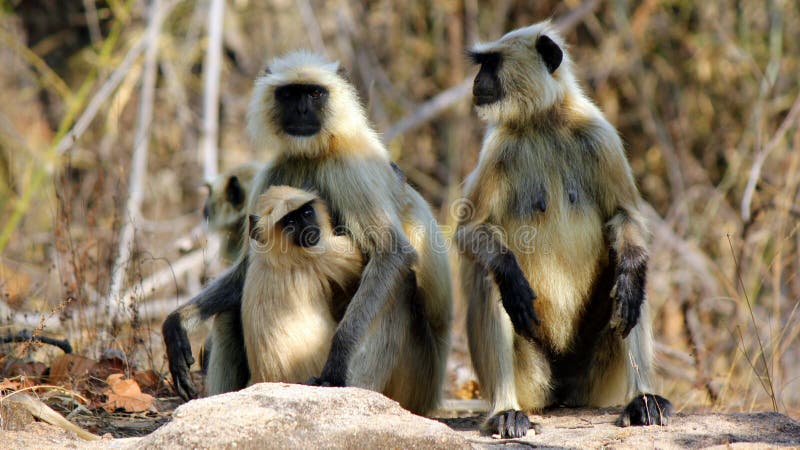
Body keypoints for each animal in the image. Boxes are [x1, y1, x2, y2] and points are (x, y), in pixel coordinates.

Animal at [456, 21, 672, 438]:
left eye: (491, 64)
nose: (476, 81)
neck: (545, 123)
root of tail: (561, 396)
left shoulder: (601, 136)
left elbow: (626, 218)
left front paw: (630, 274)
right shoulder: (498, 148)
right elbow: (470, 231)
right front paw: (510, 274)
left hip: (594, 381)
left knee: (631, 281)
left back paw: (643, 400)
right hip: (534, 378)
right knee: (490, 276)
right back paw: (506, 410)